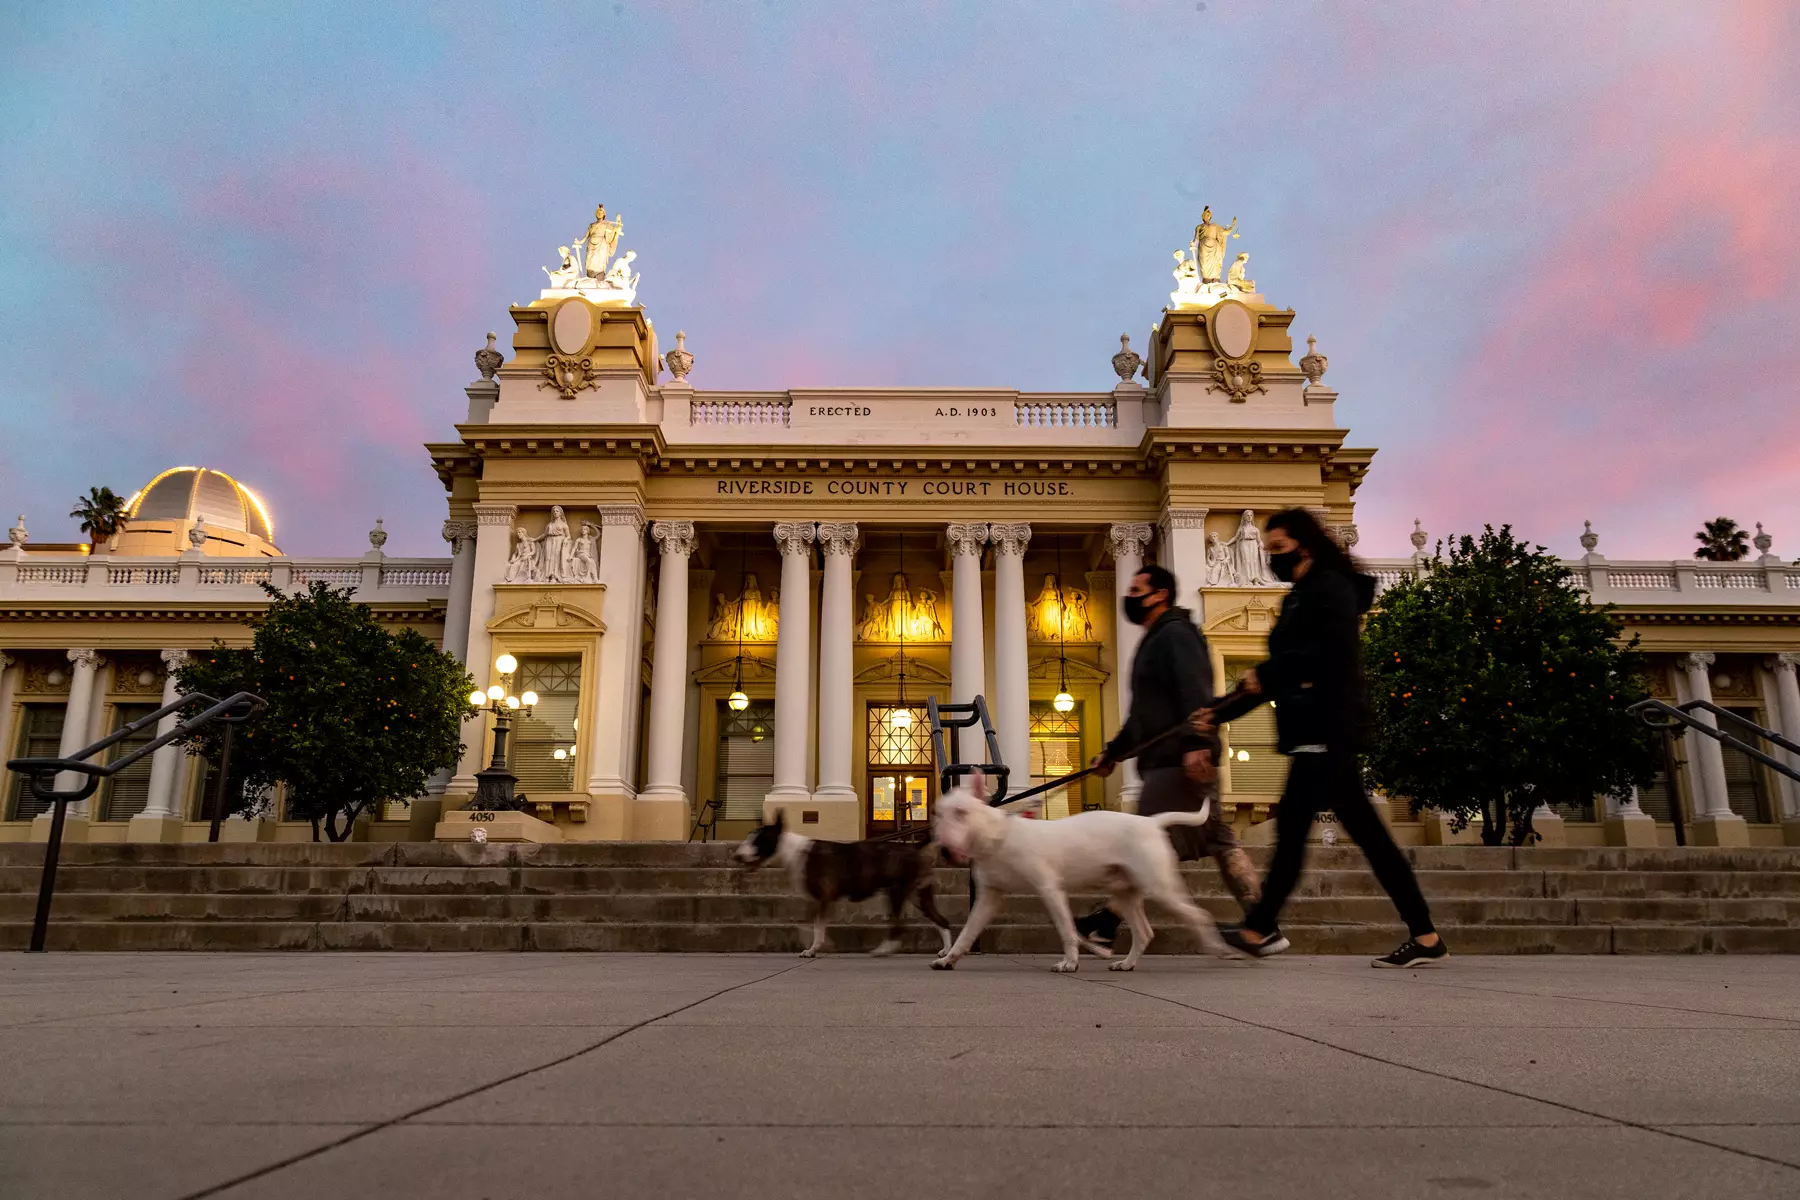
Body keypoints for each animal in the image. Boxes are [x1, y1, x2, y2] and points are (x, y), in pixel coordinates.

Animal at [730, 813, 957, 964]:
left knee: (901, 926)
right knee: (941, 921)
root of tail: (913, 847)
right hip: (918, 895)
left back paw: (884, 949)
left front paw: (812, 950)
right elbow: (817, 926)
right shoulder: (822, 900)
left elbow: (817, 927)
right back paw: (946, 951)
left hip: (896, 893)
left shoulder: (823, 898)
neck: (794, 851)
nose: (737, 856)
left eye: (758, 840)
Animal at [928, 773, 1238, 971]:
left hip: (1159, 886)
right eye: (938, 814)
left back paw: (1220, 950)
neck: (997, 838)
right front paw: (948, 959)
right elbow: (968, 931)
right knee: (1144, 932)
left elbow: (1066, 928)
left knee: (1199, 915)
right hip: (1126, 893)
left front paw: (1069, 962)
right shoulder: (988, 897)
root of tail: (1151, 823)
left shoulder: (1049, 889)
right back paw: (1126, 964)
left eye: (961, 812)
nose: (944, 851)